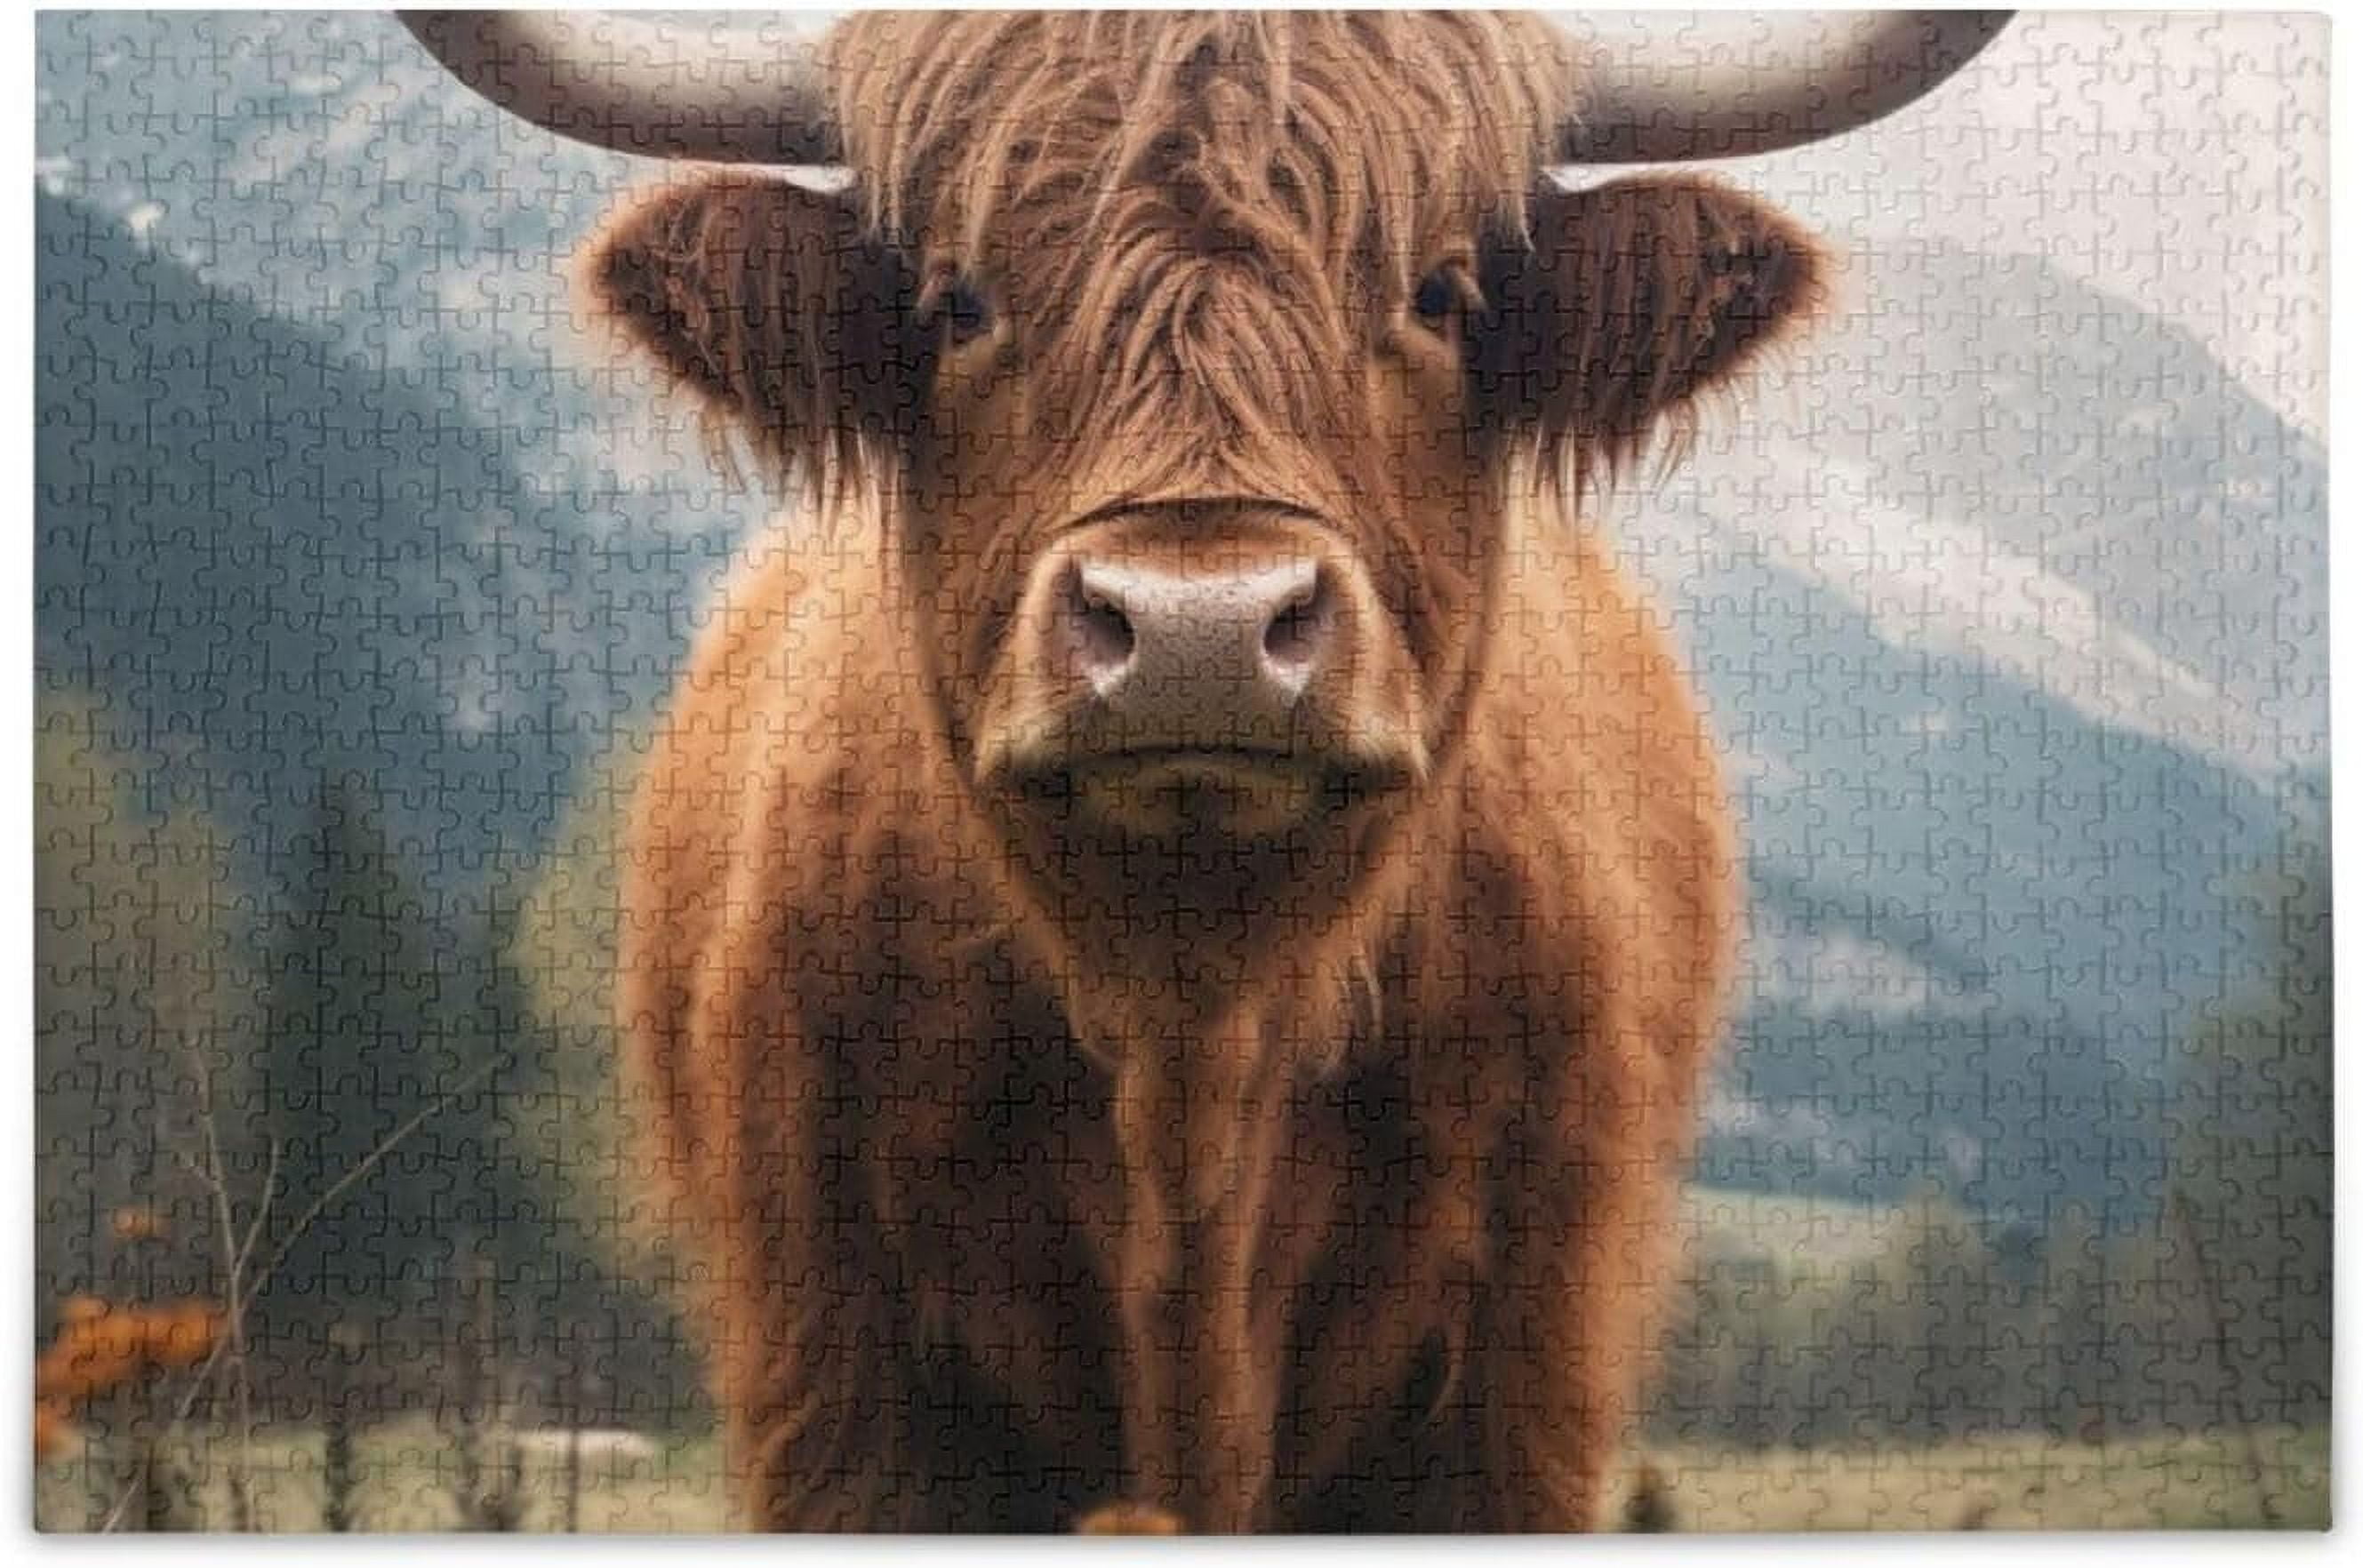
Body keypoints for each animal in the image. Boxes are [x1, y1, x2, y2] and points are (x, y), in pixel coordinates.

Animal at [407, 8, 2009, 1532]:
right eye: (956, 300)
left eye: (1438, 294)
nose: (1200, 631)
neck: (1195, 1049)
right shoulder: (833, 1352)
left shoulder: (1523, 1357)